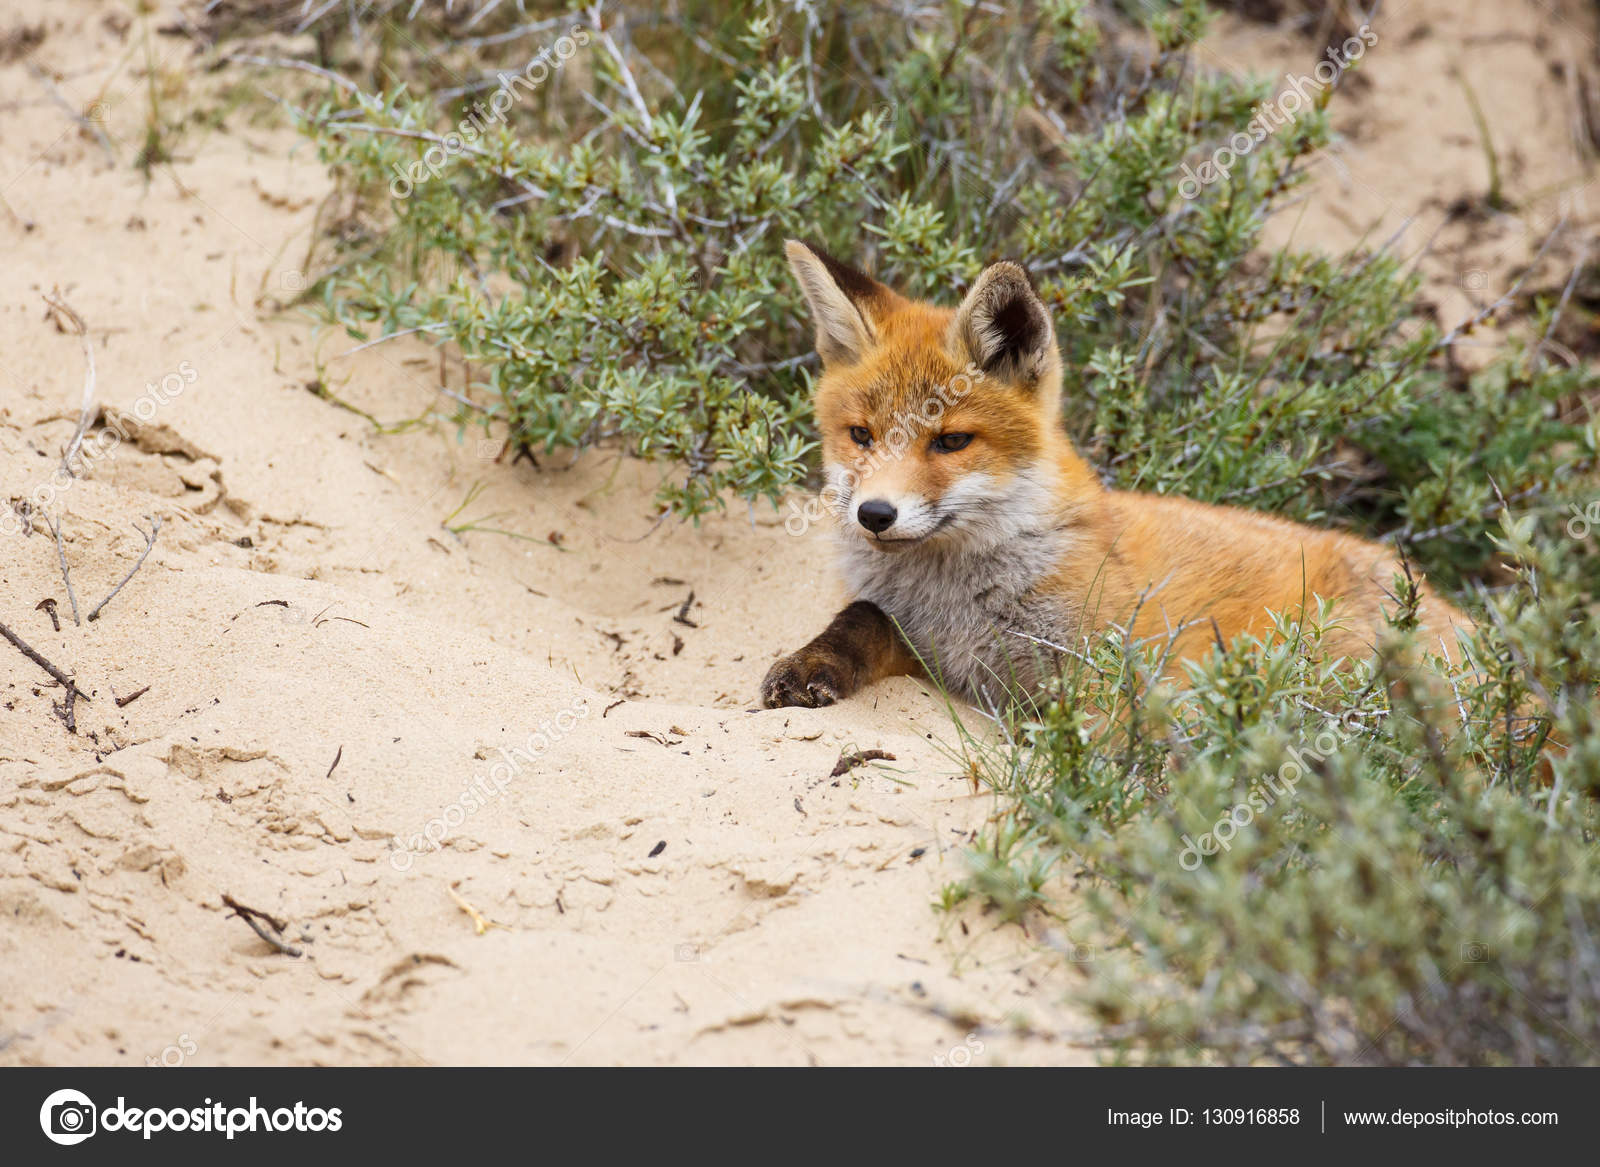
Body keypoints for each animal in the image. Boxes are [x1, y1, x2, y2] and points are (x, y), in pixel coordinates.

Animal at [760, 239, 1473, 710]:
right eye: (861, 436)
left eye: (951, 441)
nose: (875, 515)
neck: (955, 596)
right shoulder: (930, 645)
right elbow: (861, 617)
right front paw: (809, 664)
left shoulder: (1103, 668)